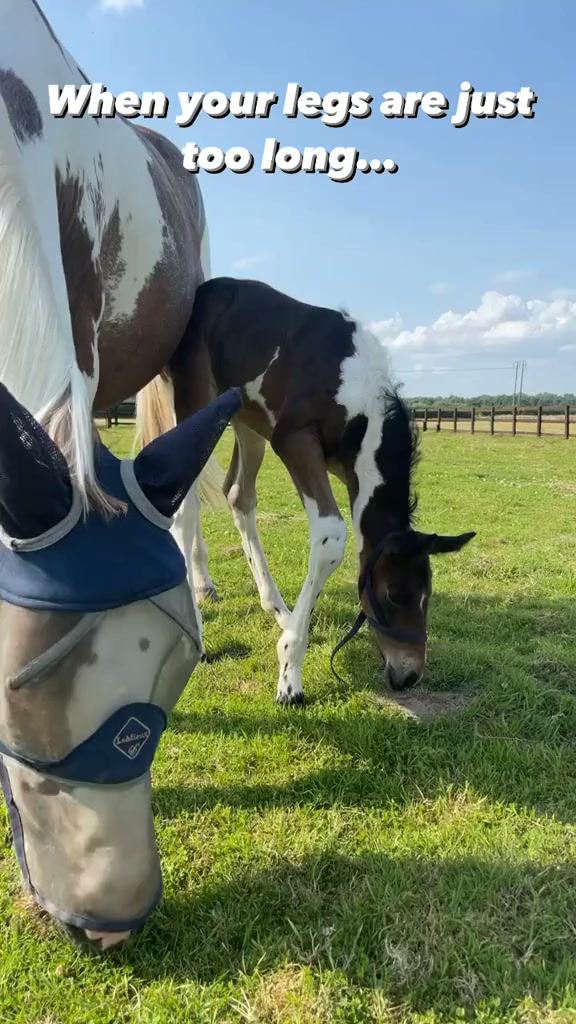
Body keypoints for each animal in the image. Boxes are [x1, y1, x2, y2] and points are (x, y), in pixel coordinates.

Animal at [136, 277, 477, 707]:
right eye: (395, 595)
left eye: (427, 595)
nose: (410, 675)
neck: (358, 397)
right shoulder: (295, 439)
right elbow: (331, 535)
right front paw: (289, 674)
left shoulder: (342, 469)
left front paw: (289, 635)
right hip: (197, 401)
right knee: (187, 503)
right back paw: (199, 627)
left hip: (247, 421)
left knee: (237, 495)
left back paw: (276, 607)